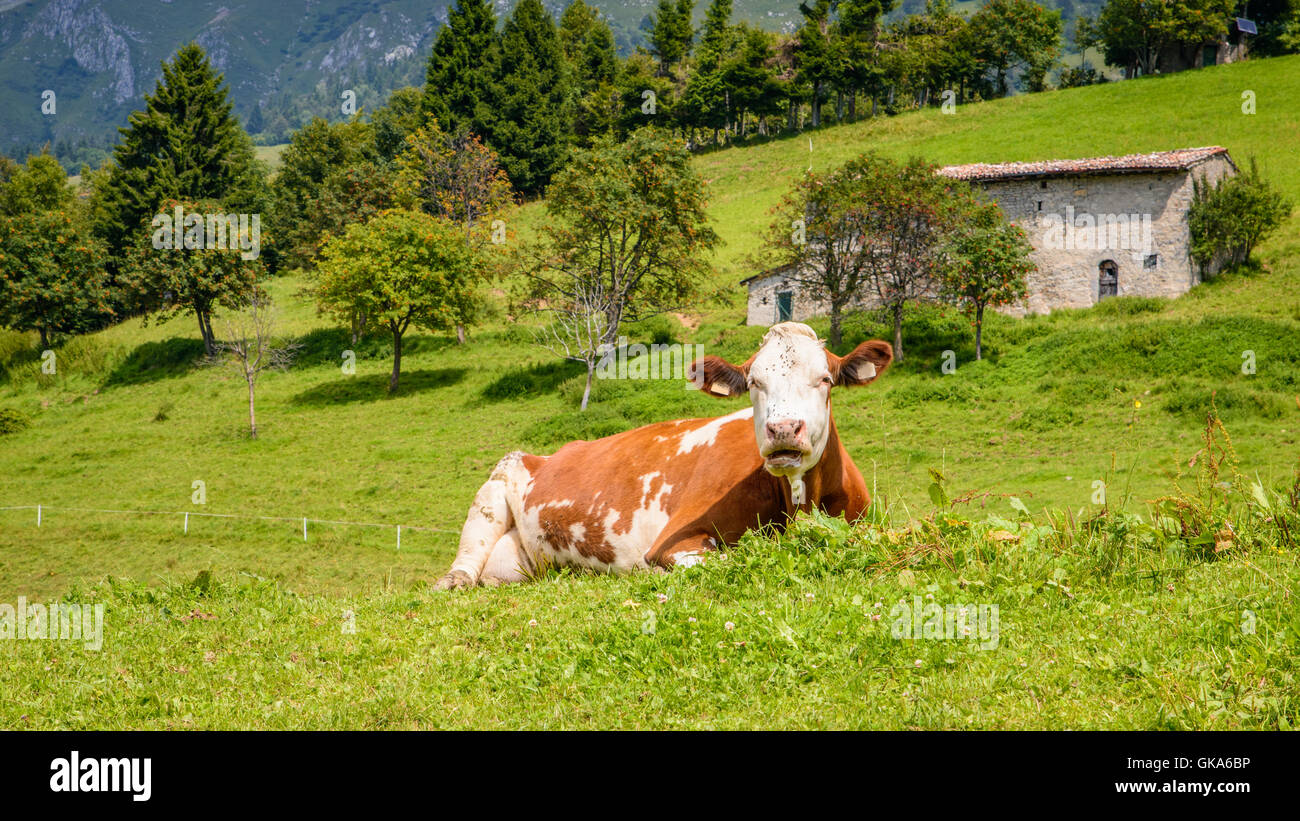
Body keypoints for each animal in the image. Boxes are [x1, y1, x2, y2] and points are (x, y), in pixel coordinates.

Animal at [434, 322, 893, 590]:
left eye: (825, 379)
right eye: (753, 382)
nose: (782, 430)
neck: (799, 503)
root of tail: (550, 454)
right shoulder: (673, 542)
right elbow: (721, 561)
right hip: (500, 477)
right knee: (470, 551)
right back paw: (452, 581)